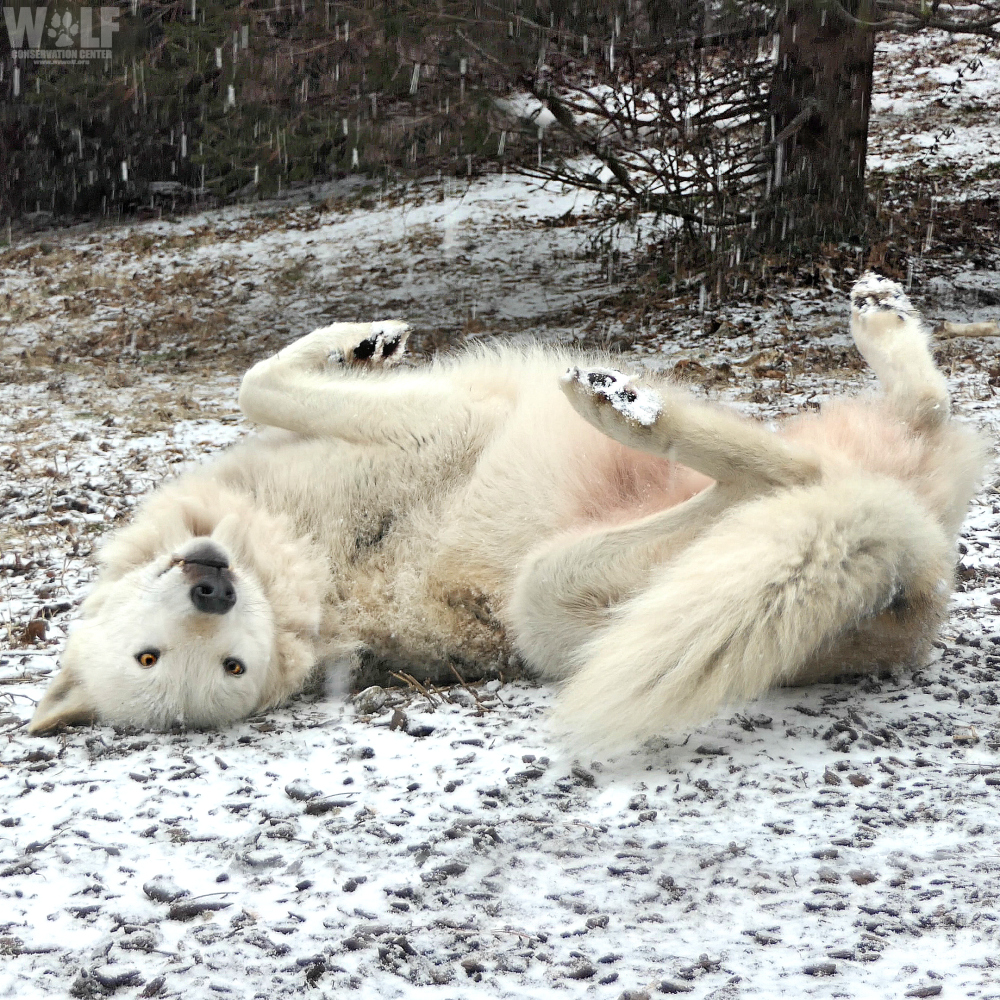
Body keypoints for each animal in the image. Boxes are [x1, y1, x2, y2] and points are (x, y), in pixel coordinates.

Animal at [28, 274, 984, 743]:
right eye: (167, 660)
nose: (212, 588)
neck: (311, 565)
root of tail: (915, 582)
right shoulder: (439, 424)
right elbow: (262, 382)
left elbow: (256, 381)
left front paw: (366, 342)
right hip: (561, 601)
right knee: (797, 472)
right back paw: (630, 408)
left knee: (925, 412)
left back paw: (876, 316)